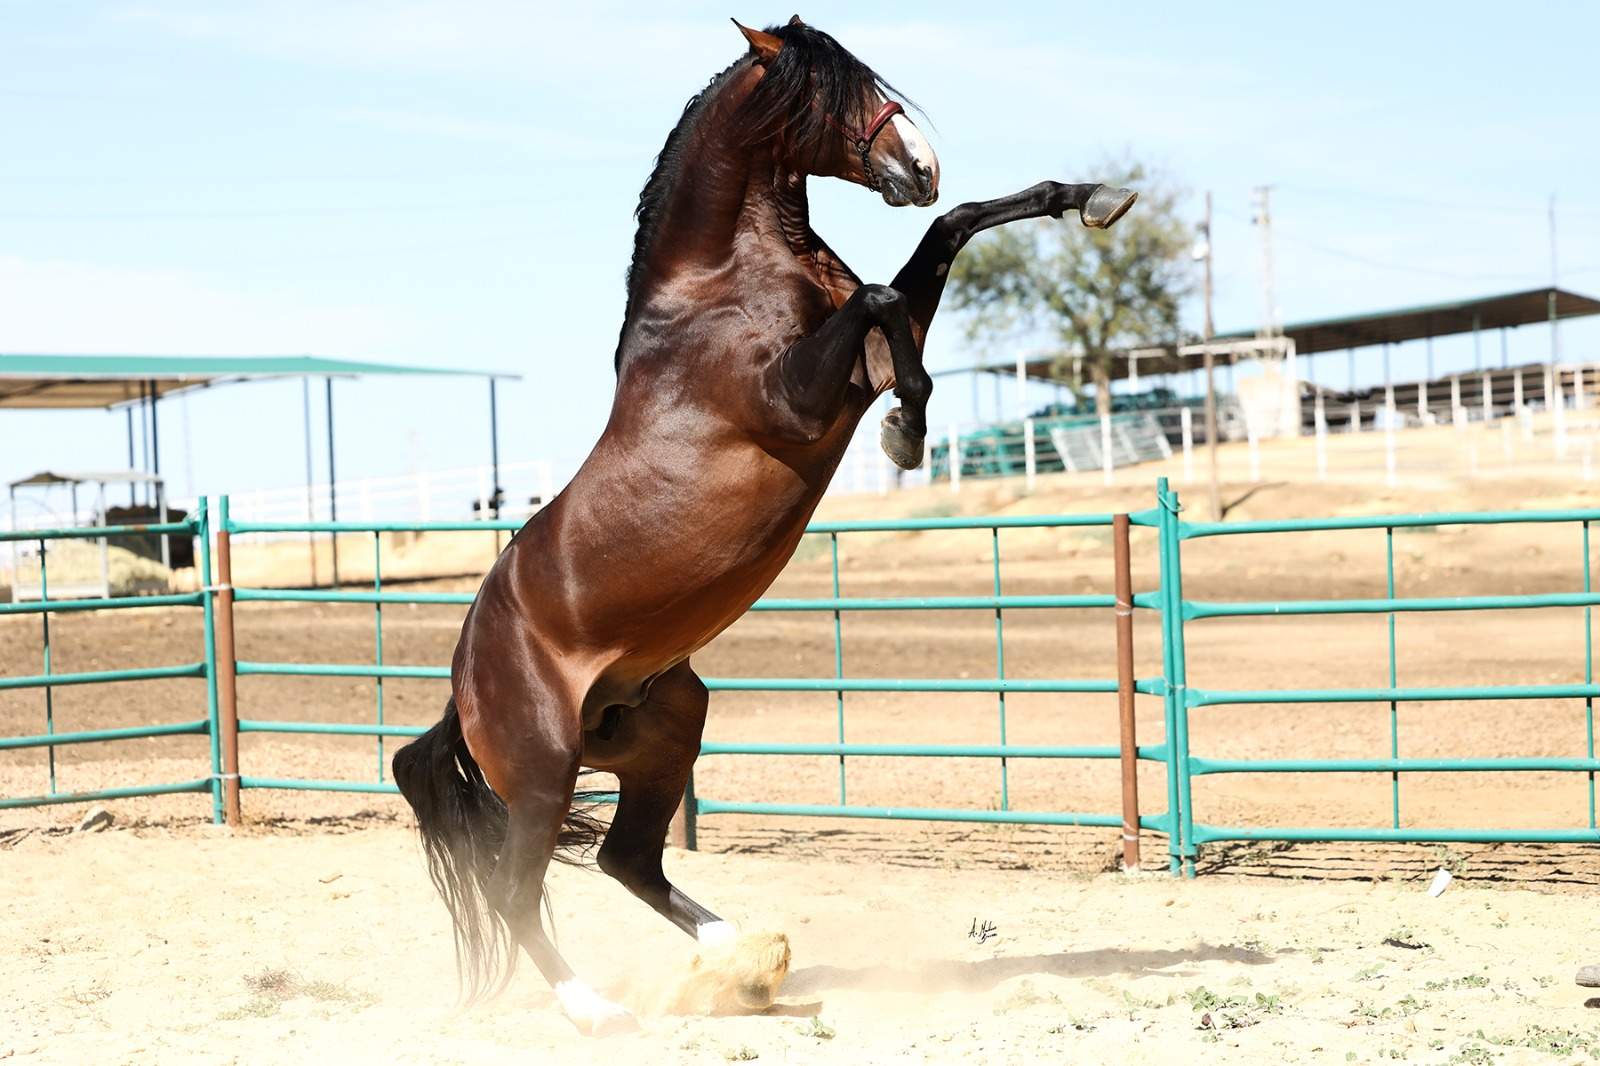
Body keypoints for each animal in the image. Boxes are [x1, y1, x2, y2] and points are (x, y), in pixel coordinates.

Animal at [391, 16, 1135, 1036]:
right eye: (828, 94)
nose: (920, 164)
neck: (720, 285)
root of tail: (462, 689)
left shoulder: (859, 359)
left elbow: (944, 235)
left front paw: (1094, 198)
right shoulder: (810, 395)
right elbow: (882, 299)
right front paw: (908, 434)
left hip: (666, 730)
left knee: (629, 861)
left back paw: (745, 959)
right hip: (544, 771)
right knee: (522, 890)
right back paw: (599, 1010)